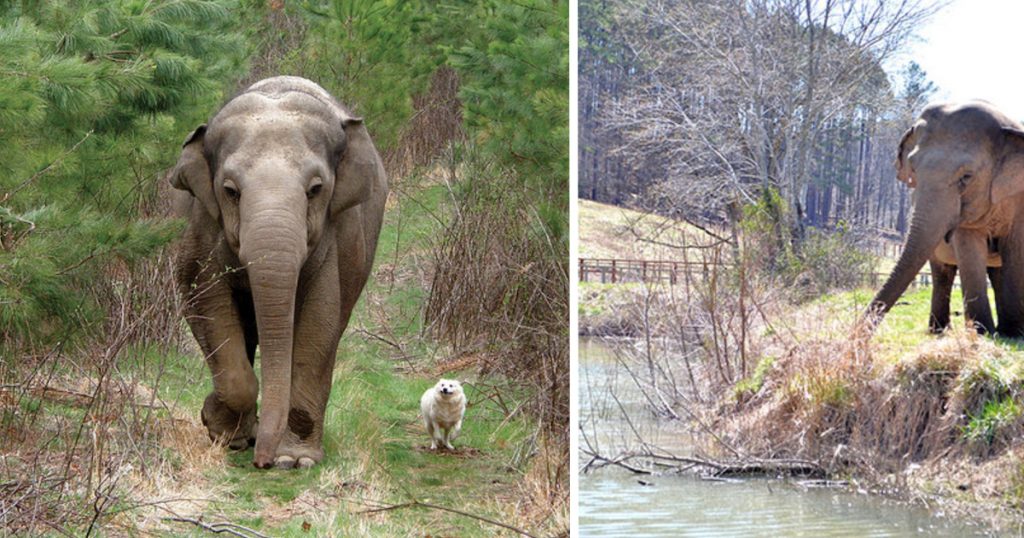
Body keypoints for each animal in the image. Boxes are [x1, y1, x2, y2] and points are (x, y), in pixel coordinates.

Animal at [170, 76, 387, 469]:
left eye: (315, 189)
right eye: (230, 191)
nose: (263, 462)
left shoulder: (337, 234)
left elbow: (320, 321)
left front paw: (295, 460)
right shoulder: (199, 225)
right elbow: (205, 299)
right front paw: (220, 430)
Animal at [865, 101, 1024, 337]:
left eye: (966, 177)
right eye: (913, 169)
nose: (856, 335)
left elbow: (1015, 251)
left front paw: (1012, 334)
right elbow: (970, 249)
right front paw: (983, 333)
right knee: (942, 274)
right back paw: (939, 330)